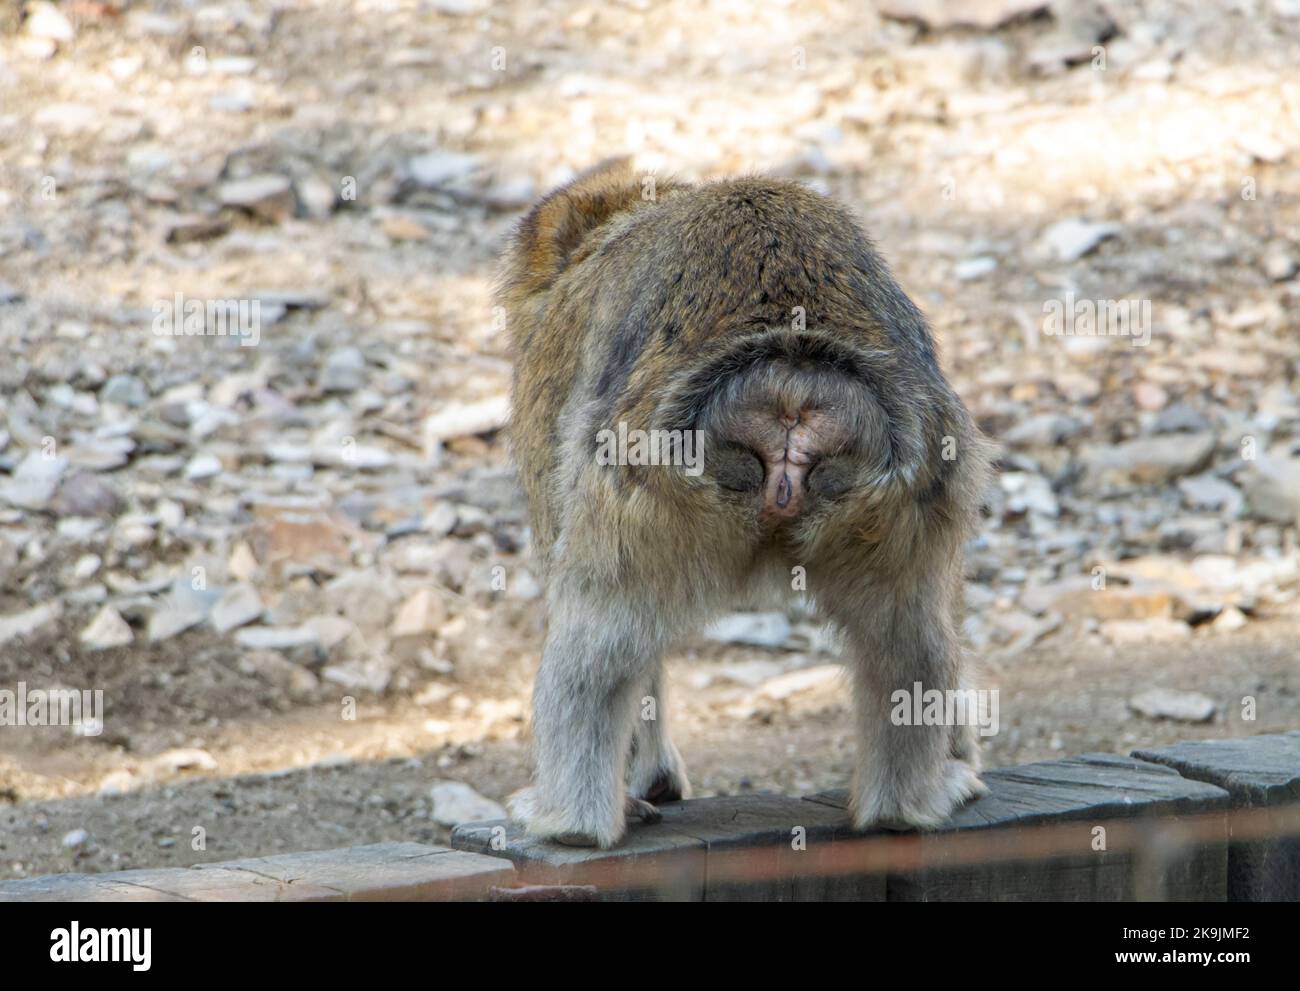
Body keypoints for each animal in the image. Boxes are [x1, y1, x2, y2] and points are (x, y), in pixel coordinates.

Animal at [500, 158, 993, 849]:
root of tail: (788, 385)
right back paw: (908, 804)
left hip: (635, 478)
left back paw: (571, 824)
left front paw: (649, 779)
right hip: (914, 478)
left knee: (597, 639)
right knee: (910, 635)